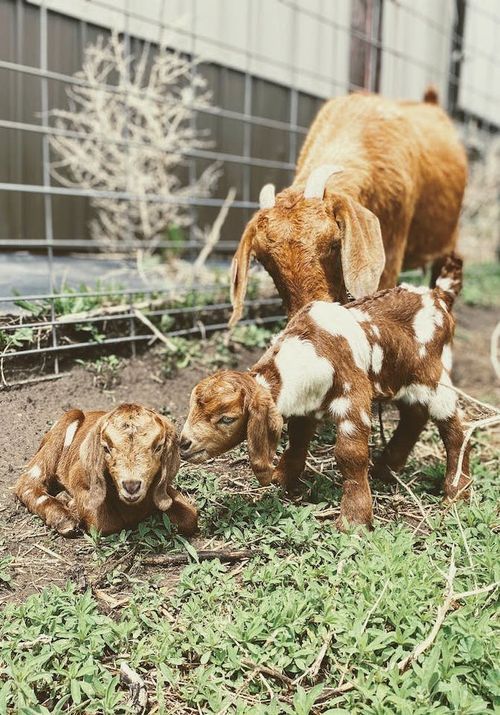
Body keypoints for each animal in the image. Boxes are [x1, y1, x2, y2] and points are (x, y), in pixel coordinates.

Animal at [16, 403, 198, 536]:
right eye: (106, 448)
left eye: (158, 447)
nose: (131, 486)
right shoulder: (79, 477)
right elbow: (105, 523)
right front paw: (71, 504)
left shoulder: (163, 489)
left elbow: (191, 516)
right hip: (61, 429)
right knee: (27, 482)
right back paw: (63, 518)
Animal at [181, 254, 470, 529]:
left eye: (227, 418)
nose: (184, 443)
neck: (309, 347)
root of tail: (438, 296)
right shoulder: (304, 405)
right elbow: (298, 440)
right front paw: (282, 478)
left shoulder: (353, 394)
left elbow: (349, 455)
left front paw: (354, 521)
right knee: (414, 415)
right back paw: (385, 468)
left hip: (434, 376)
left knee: (457, 428)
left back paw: (456, 492)